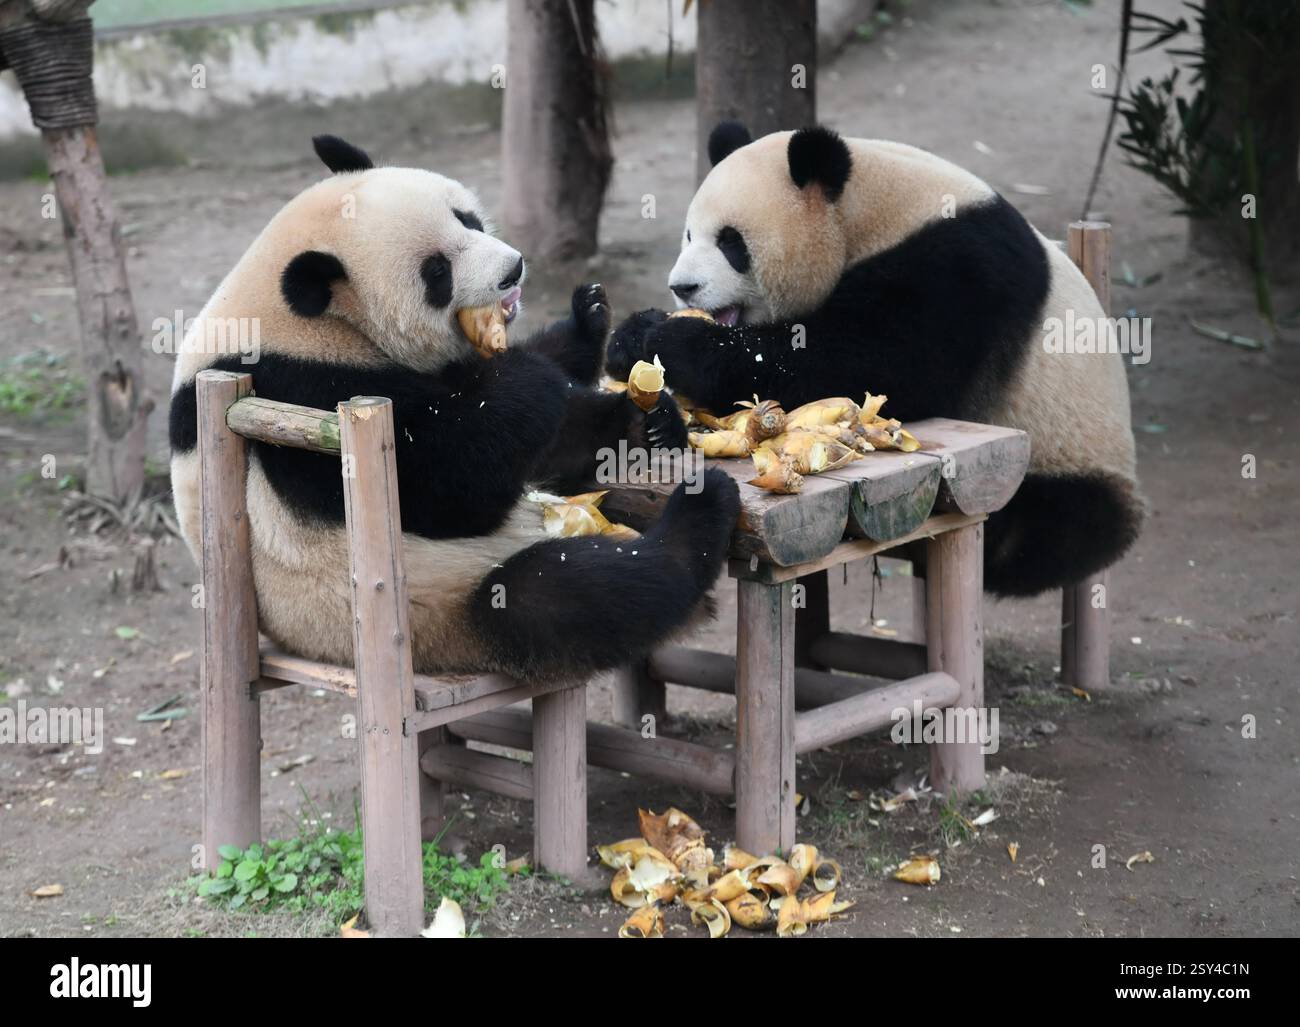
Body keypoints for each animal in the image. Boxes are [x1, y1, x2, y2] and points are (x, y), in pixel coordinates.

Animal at [169, 135, 740, 682]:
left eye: (466, 218)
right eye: (437, 271)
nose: (513, 269)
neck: (302, 317)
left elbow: (534, 442)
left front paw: (593, 324)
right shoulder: (300, 389)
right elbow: (451, 483)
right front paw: (530, 374)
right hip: (434, 605)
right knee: (569, 592)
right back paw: (698, 516)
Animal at [607, 122, 1144, 597]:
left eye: (731, 242)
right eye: (688, 234)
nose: (683, 286)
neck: (867, 208)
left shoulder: (960, 269)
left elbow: (874, 362)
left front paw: (677, 342)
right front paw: (633, 342)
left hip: (1071, 452)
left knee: (1043, 530)